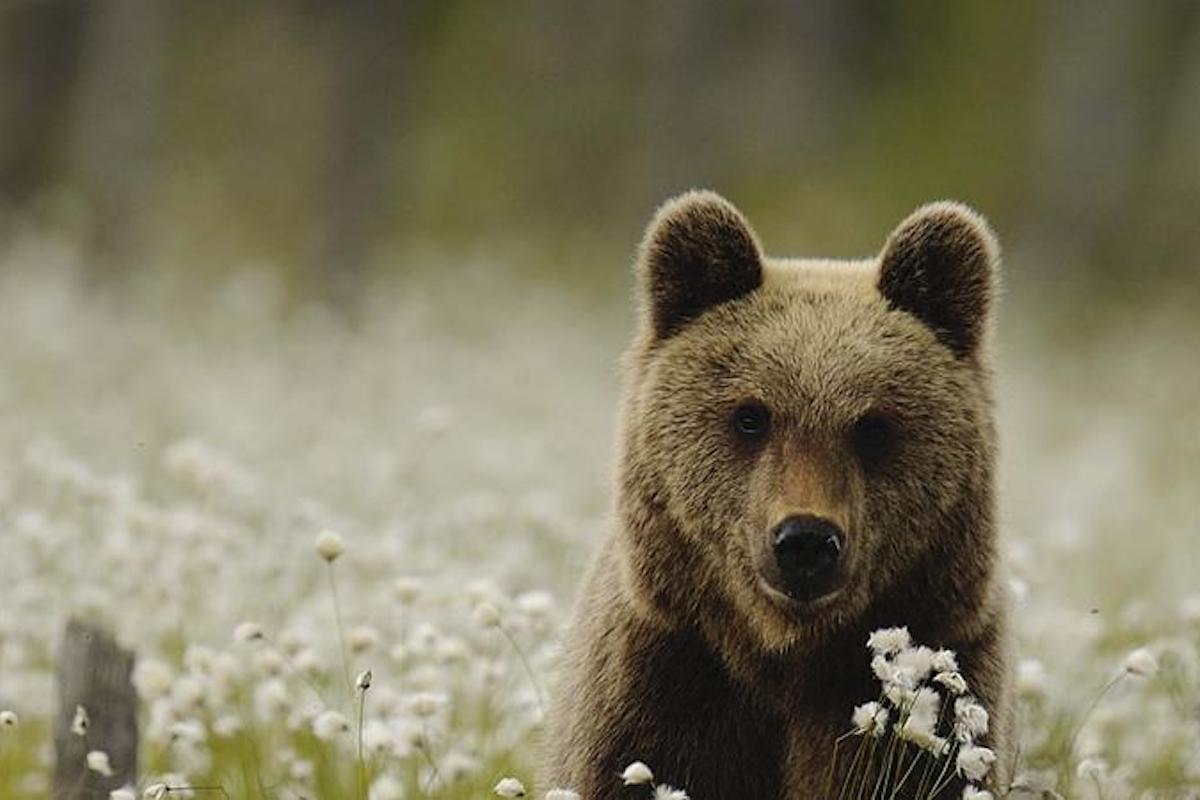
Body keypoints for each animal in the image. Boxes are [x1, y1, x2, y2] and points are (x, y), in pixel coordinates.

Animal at [541, 190, 1013, 799]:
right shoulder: (661, 683)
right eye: (751, 416)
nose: (806, 540)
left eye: (872, 427)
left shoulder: (938, 690)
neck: (785, 657)